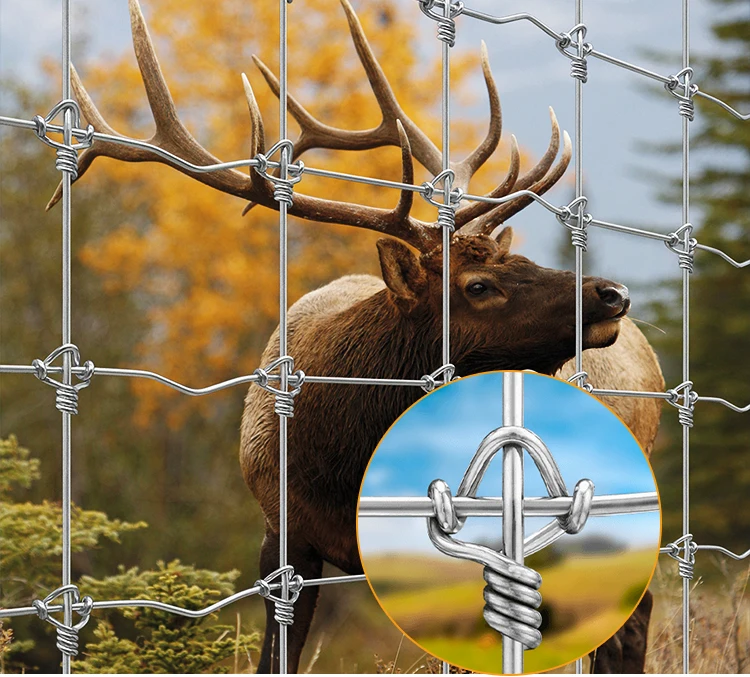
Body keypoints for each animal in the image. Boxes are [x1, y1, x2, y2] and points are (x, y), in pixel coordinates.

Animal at [49, 0, 664, 673]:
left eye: (518, 258)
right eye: (477, 285)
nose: (612, 294)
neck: (345, 465)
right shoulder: (282, 532)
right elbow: (278, 652)